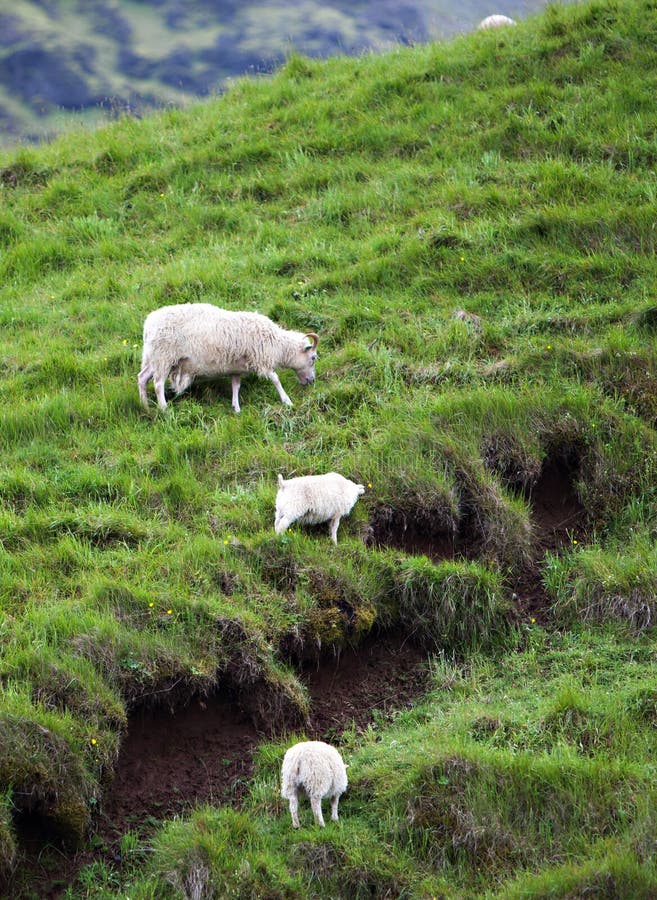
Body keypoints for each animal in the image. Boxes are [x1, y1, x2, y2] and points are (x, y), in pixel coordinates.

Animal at [137, 303, 319, 412]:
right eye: (313, 358)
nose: (311, 381)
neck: (277, 345)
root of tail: (148, 324)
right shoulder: (261, 359)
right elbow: (275, 379)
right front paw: (287, 401)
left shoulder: (236, 367)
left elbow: (235, 386)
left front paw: (236, 408)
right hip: (164, 357)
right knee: (158, 384)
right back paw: (164, 409)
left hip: (154, 358)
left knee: (142, 378)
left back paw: (145, 406)